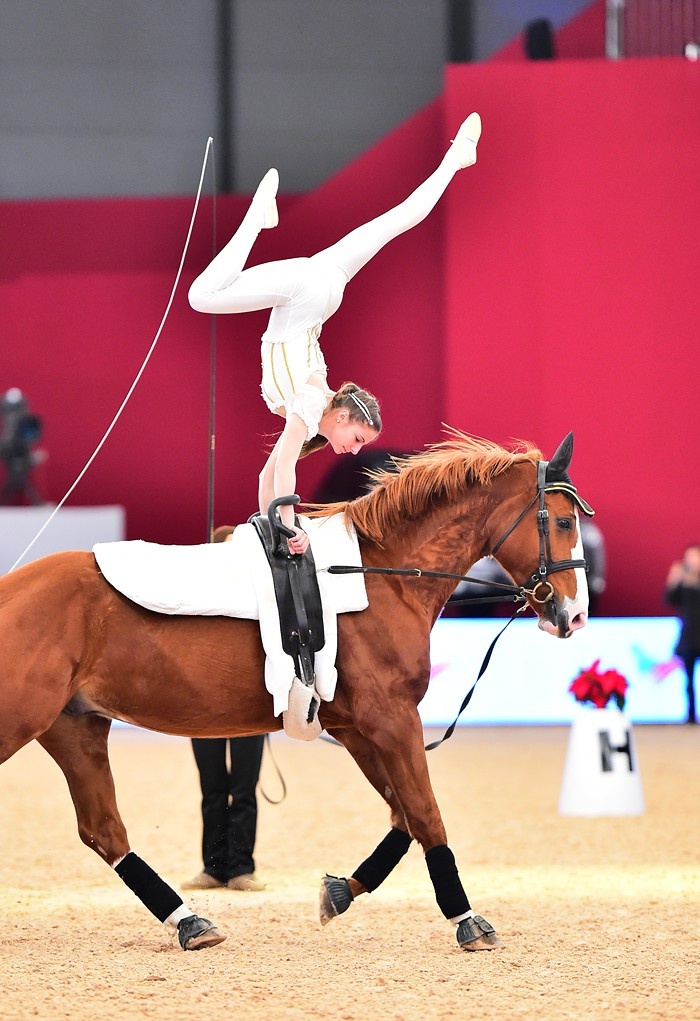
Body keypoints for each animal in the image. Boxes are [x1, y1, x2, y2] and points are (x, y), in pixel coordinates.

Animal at [0, 430, 592, 952]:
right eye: (563, 521)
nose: (575, 615)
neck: (381, 576)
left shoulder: (356, 728)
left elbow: (402, 816)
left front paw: (342, 891)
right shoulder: (391, 719)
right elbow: (425, 814)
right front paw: (467, 920)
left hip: (74, 728)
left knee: (105, 831)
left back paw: (191, 923)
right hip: (22, 722)